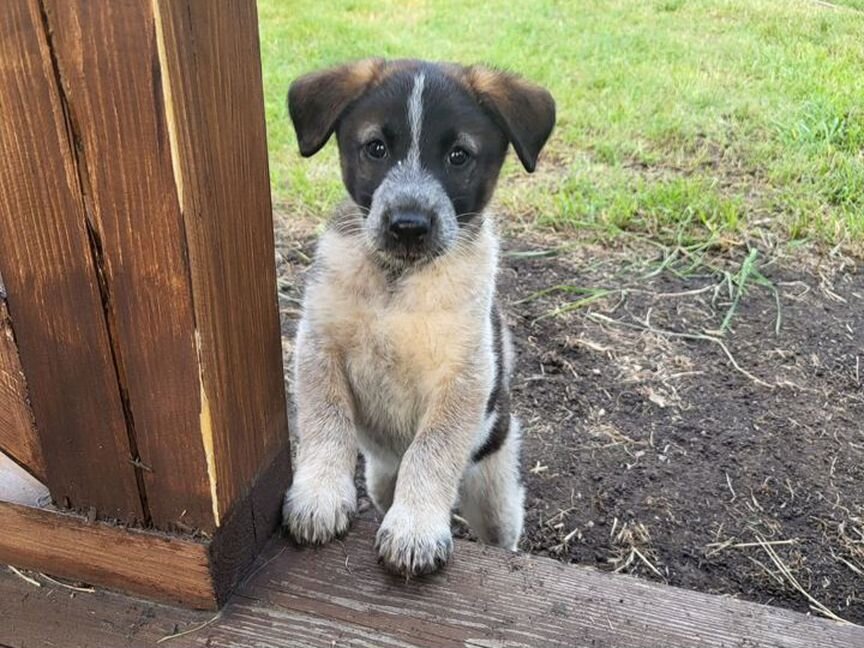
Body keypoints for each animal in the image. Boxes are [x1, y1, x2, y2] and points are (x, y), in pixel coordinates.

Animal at [284, 59, 552, 576]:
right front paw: (319, 493)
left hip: (495, 493)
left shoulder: (464, 376)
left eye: (459, 156)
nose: (408, 225)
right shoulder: (318, 346)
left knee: (500, 533)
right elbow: (326, 424)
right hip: (382, 478)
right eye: (376, 148)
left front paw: (416, 527)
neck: (398, 283)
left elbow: (431, 451)